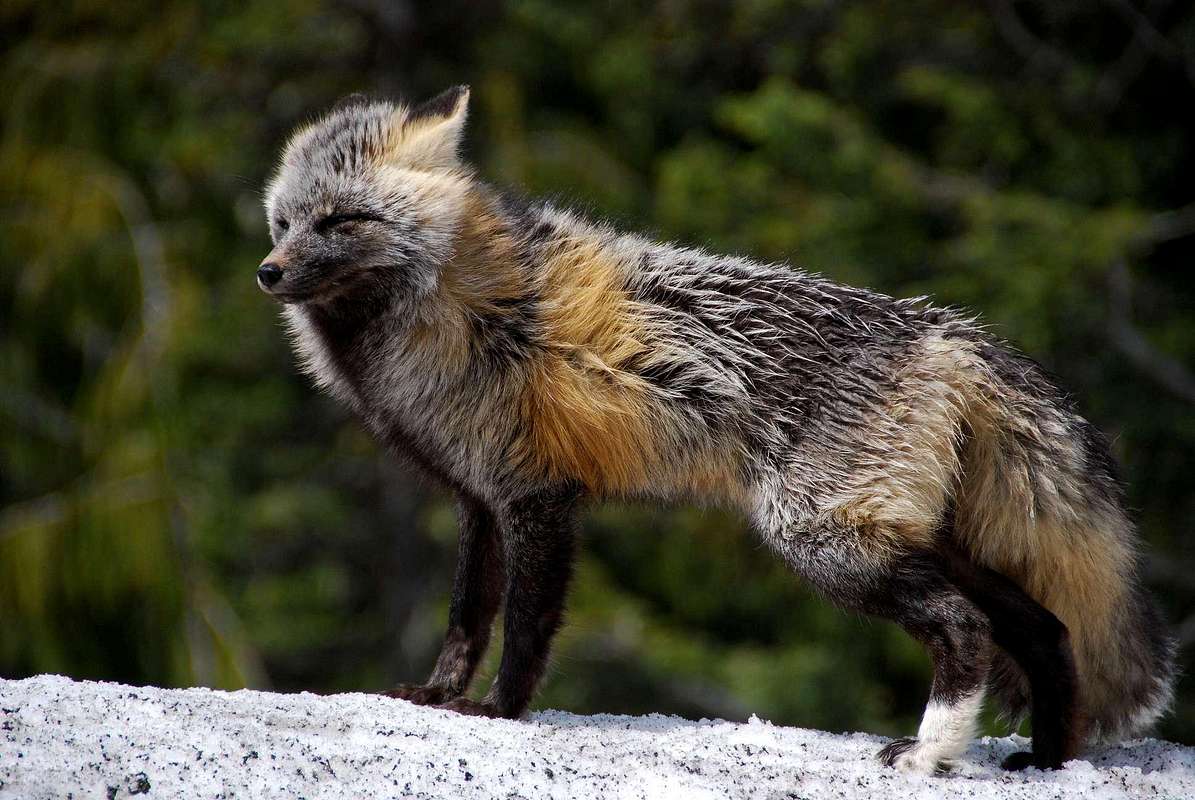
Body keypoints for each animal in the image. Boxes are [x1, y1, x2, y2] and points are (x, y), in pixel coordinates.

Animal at [257, 85, 1175, 774]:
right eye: (282, 223)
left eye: (341, 221)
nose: (266, 273)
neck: (456, 307)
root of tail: (948, 331)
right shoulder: (476, 499)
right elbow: (462, 620)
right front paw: (439, 697)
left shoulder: (535, 496)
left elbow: (520, 630)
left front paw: (496, 713)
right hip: (911, 536)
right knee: (1045, 629)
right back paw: (1048, 761)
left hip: (827, 543)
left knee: (967, 626)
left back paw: (927, 755)